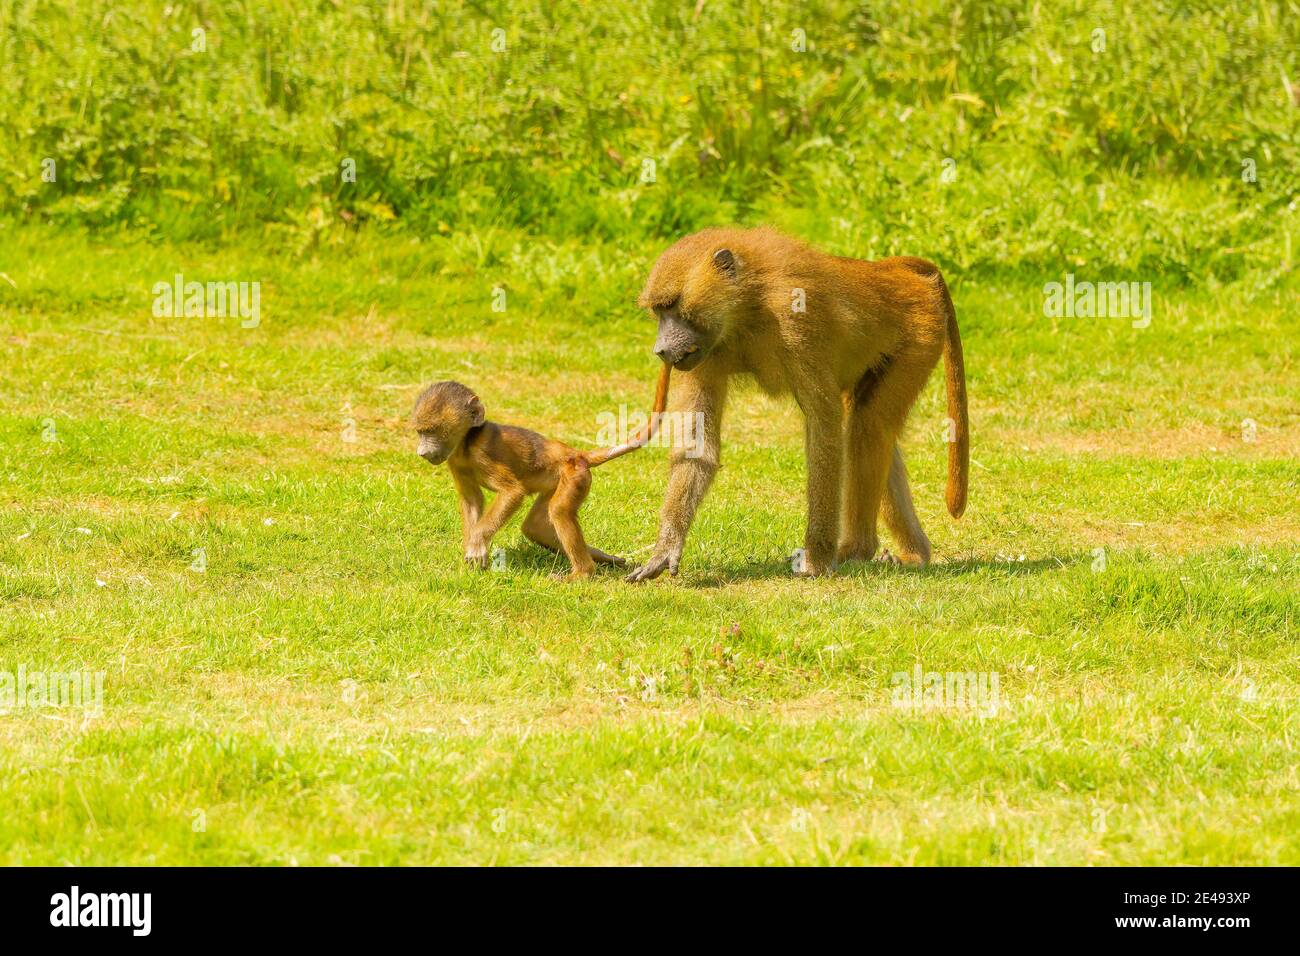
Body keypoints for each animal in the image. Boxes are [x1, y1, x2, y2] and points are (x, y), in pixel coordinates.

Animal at [413, 364, 672, 580]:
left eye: (433, 430)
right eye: (421, 432)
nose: (421, 452)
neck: (466, 442)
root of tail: (576, 454)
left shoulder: (482, 453)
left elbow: (512, 492)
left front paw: (477, 545)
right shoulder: (454, 460)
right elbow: (472, 500)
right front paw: (472, 554)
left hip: (574, 476)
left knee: (558, 511)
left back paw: (583, 573)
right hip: (558, 482)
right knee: (535, 526)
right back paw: (600, 557)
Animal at [625, 226, 968, 582]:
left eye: (673, 306)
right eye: (660, 311)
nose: (661, 350)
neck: (748, 304)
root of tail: (899, 275)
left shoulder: (795, 316)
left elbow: (824, 424)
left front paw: (816, 560)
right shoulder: (705, 351)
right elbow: (697, 446)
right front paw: (665, 550)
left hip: (920, 338)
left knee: (867, 426)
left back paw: (859, 551)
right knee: (868, 423)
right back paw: (913, 554)